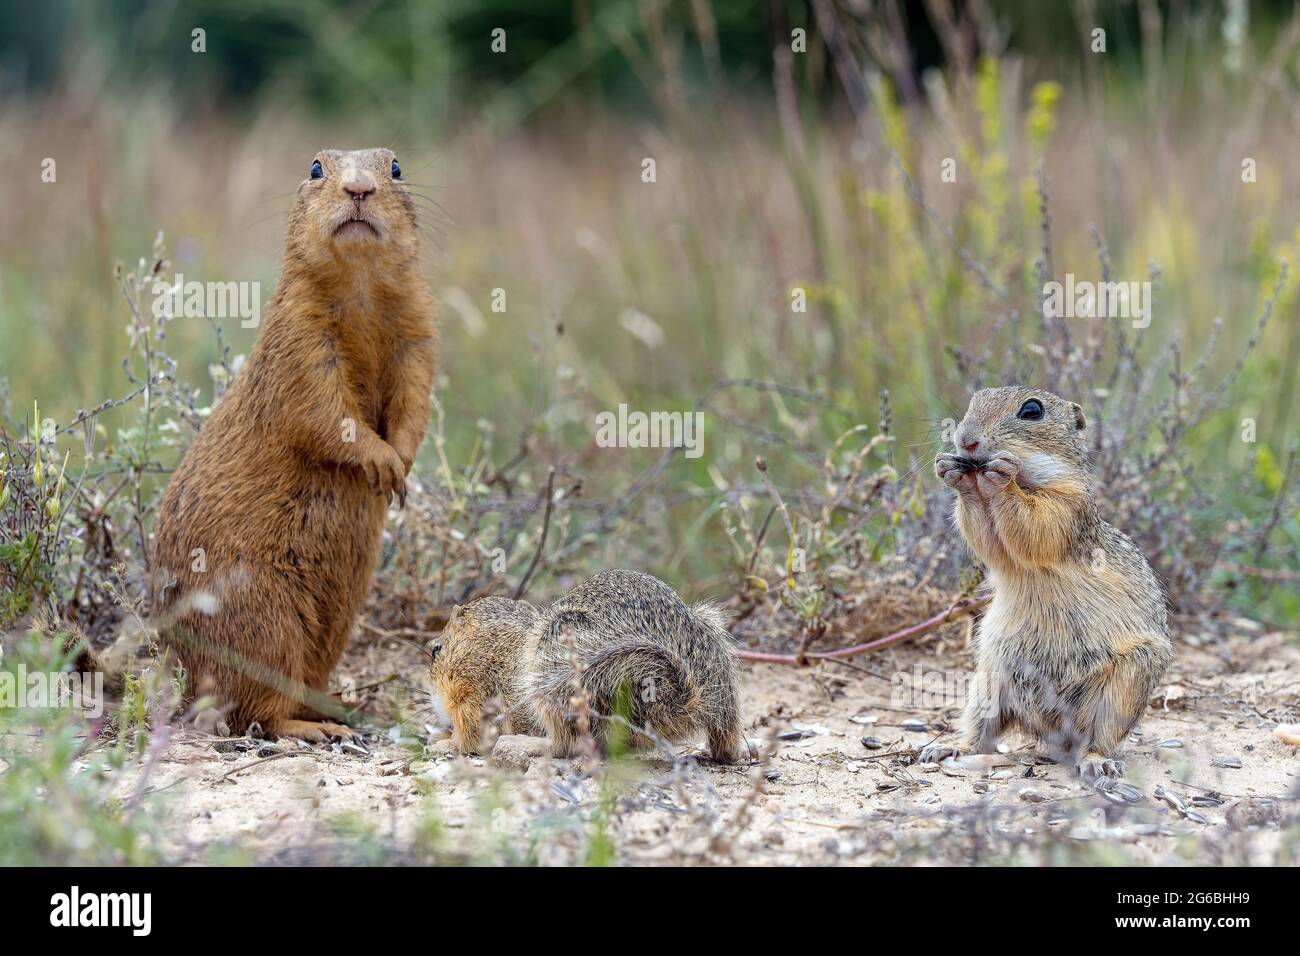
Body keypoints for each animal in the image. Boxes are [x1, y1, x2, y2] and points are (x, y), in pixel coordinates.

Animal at [151, 148, 437, 742]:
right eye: (315, 167)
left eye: (396, 167)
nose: (358, 188)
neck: (361, 290)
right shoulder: (301, 339)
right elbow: (326, 411)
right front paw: (382, 463)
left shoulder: (418, 332)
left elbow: (413, 400)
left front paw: (400, 464)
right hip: (266, 617)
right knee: (252, 711)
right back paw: (319, 728)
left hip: (334, 626)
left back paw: (343, 708)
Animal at [430, 569, 746, 763]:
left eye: (435, 650)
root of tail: (677, 696)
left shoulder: (472, 705)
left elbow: (468, 741)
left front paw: (442, 743)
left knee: (562, 743)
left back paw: (529, 746)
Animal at [920, 386, 1172, 784]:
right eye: (974, 399)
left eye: (1032, 411)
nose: (966, 440)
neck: (1031, 478)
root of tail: (1056, 734)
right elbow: (987, 541)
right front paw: (955, 475)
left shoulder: (1065, 508)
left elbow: (1033, 526)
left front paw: (999, 478)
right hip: (987, 683)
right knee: (981, 736)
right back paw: (948, 746)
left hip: (1124, 687)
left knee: (1098, 739)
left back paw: (1096, 761)